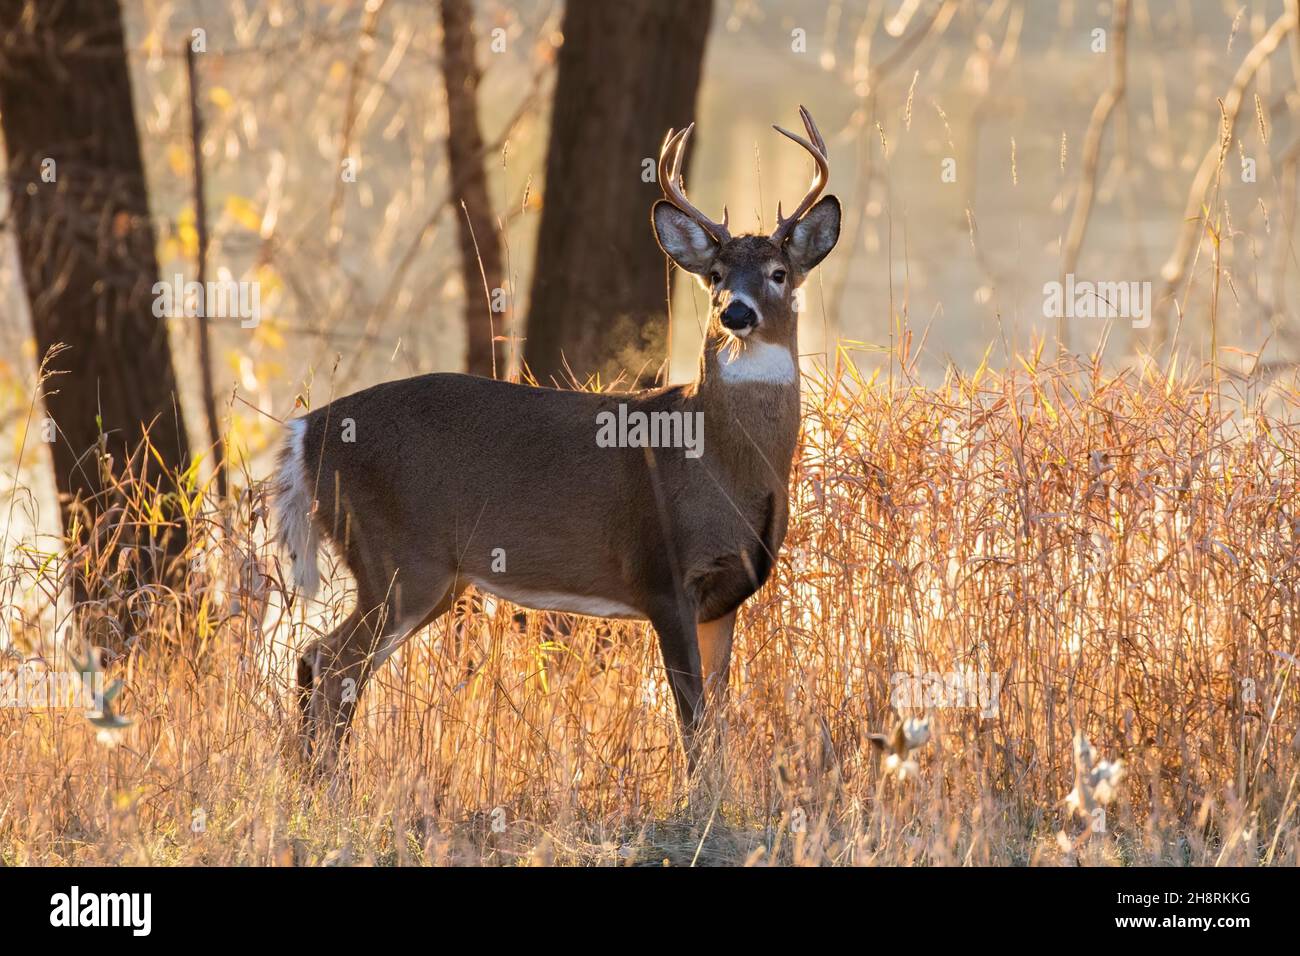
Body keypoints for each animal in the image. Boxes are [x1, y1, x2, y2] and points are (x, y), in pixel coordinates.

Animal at [274, 107, 840, 774]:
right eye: (716, 276)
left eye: (779, 273)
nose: (736, 314)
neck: (726, 464)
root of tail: (307, 431)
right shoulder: (662, 575)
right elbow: (692, 722)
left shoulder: (725, 599)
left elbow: (718, 725)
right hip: (397, 557)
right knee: (331, 663)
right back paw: (327, 783)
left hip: (429, 576)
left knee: (323, 661)